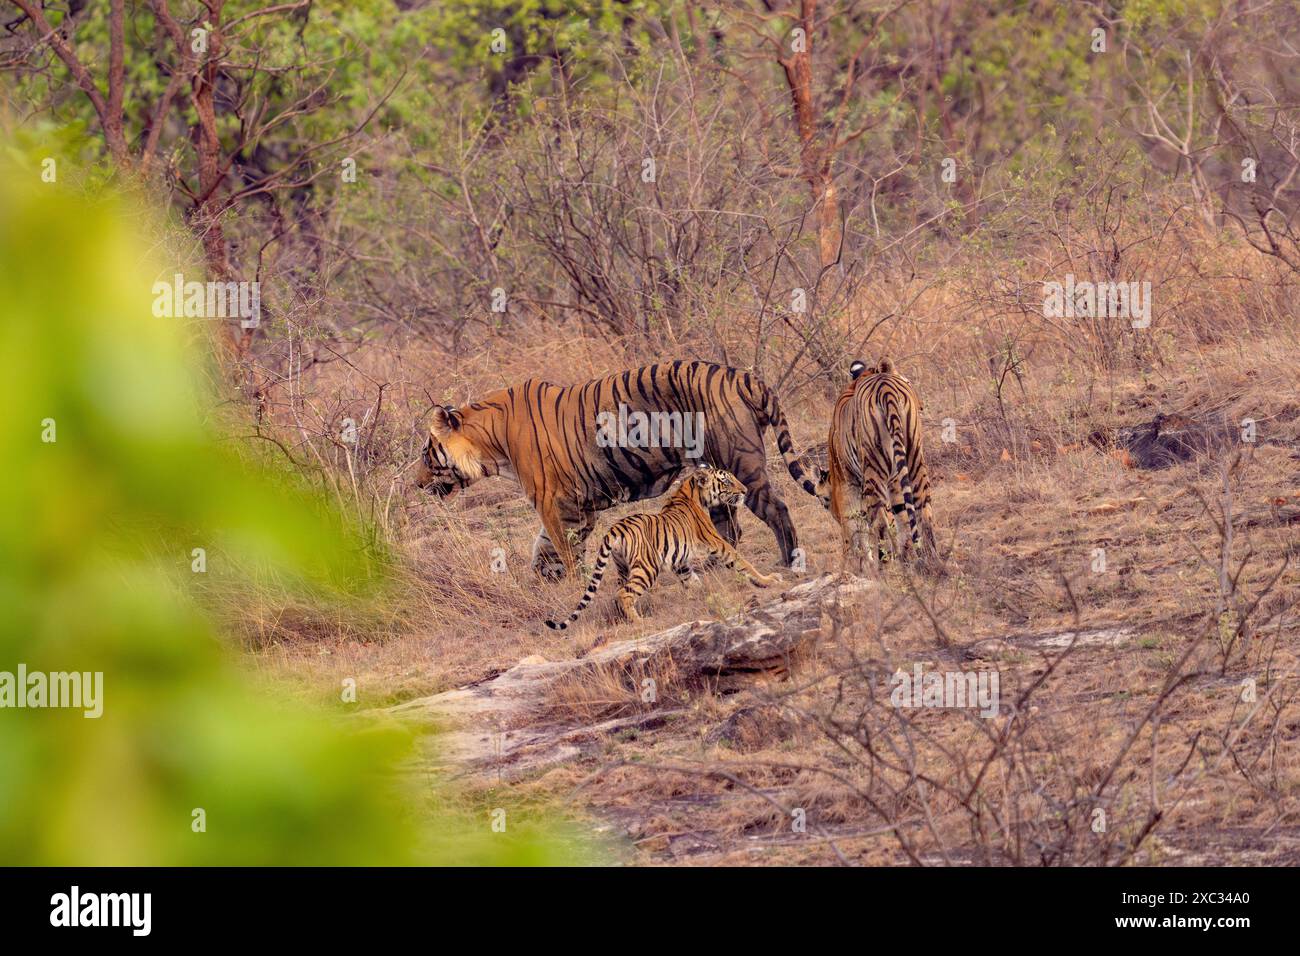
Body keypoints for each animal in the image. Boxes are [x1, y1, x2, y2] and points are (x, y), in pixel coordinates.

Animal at [411, 361, 821, 579]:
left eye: (427, 453)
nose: (415, 484)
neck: (492, 444)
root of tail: (743, 375)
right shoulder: (574, 506)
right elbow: (544, 549)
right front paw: (545, 584)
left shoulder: (553, 501)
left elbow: (562, 547)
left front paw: (569, 586)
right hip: (716, 477)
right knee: (729, 527)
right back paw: (713, 567)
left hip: (740, 463)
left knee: (776, 509)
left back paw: (790, 561)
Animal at [545, 466, 779, 630]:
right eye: (727, 481)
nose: (745, 490)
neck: (692, 491)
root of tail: (615, 528)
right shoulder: (716, 541)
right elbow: (742, 562)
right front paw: (768, 580)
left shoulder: (681, 561)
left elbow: (692, 580)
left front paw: (702, 596)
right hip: (647, 567)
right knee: (624, 593)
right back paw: (640, 623)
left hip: (622, 566)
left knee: (617, 591)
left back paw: (624, 619)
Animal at [821, 358, 937, 570]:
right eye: (909, 382)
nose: (922, 406)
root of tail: (885, 388)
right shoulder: (895, 481)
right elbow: (902, 518)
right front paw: (907, 558)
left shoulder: (846, 484)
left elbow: (856, 527)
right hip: (915, 459)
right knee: (924, 510)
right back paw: (934, 561)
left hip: (873, 474)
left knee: (879, 523)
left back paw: (885, 566)